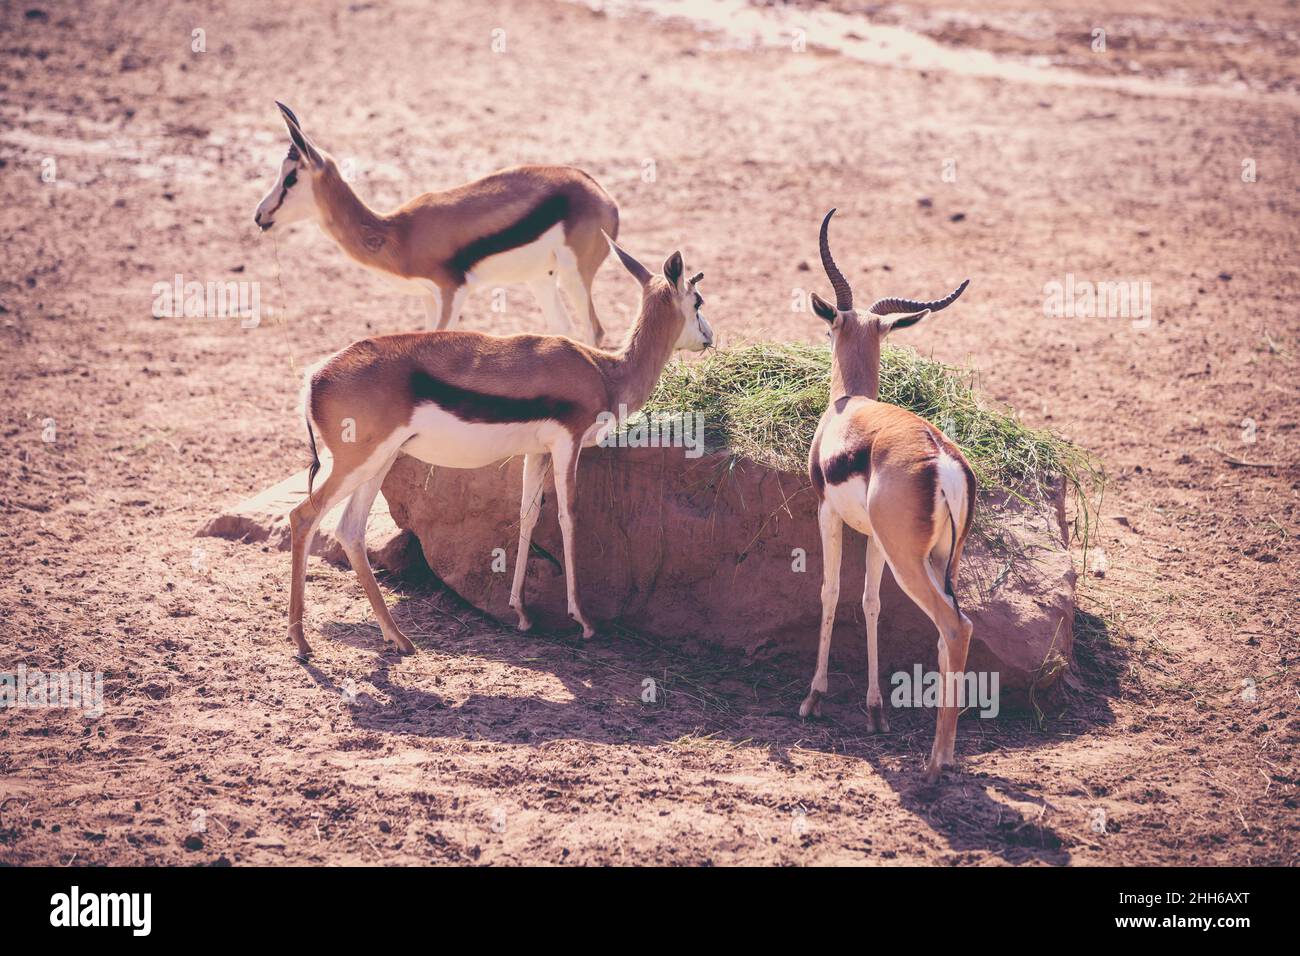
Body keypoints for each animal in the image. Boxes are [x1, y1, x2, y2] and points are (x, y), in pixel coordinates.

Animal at [253, 102, 620, 344]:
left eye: (290, 178)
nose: (260, 216)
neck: (397, 234)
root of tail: (602, 195)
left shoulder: (451, 292)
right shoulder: (428, 297)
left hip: (574, 275)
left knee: (594, 330)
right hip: (540, 279)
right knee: (564, 330)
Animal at [286, 236, 713, 658]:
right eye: (697, 300)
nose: (709, 337)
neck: (604, 371)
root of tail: (315, 375)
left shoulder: (537, 452)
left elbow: (527, 516)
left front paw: (521, 613)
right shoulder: (568, 444)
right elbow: (569, 517)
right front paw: (584, 620)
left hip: (379, 462)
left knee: (350, 530)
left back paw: (398, 638)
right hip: (357, 462)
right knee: (304, 516)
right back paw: (302, 642)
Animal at [800, 209, 974, 783]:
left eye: (830, 324)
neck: (849, 407)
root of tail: (942, 458)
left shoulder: (827, 513)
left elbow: (831, 592)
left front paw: (813, 699)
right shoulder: (874, 536)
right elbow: (870, 603)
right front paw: (875, 711)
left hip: (910, 561)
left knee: (956, 628)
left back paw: (936, 764)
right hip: (938, 559)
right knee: (948, 634)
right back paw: (942, 753)